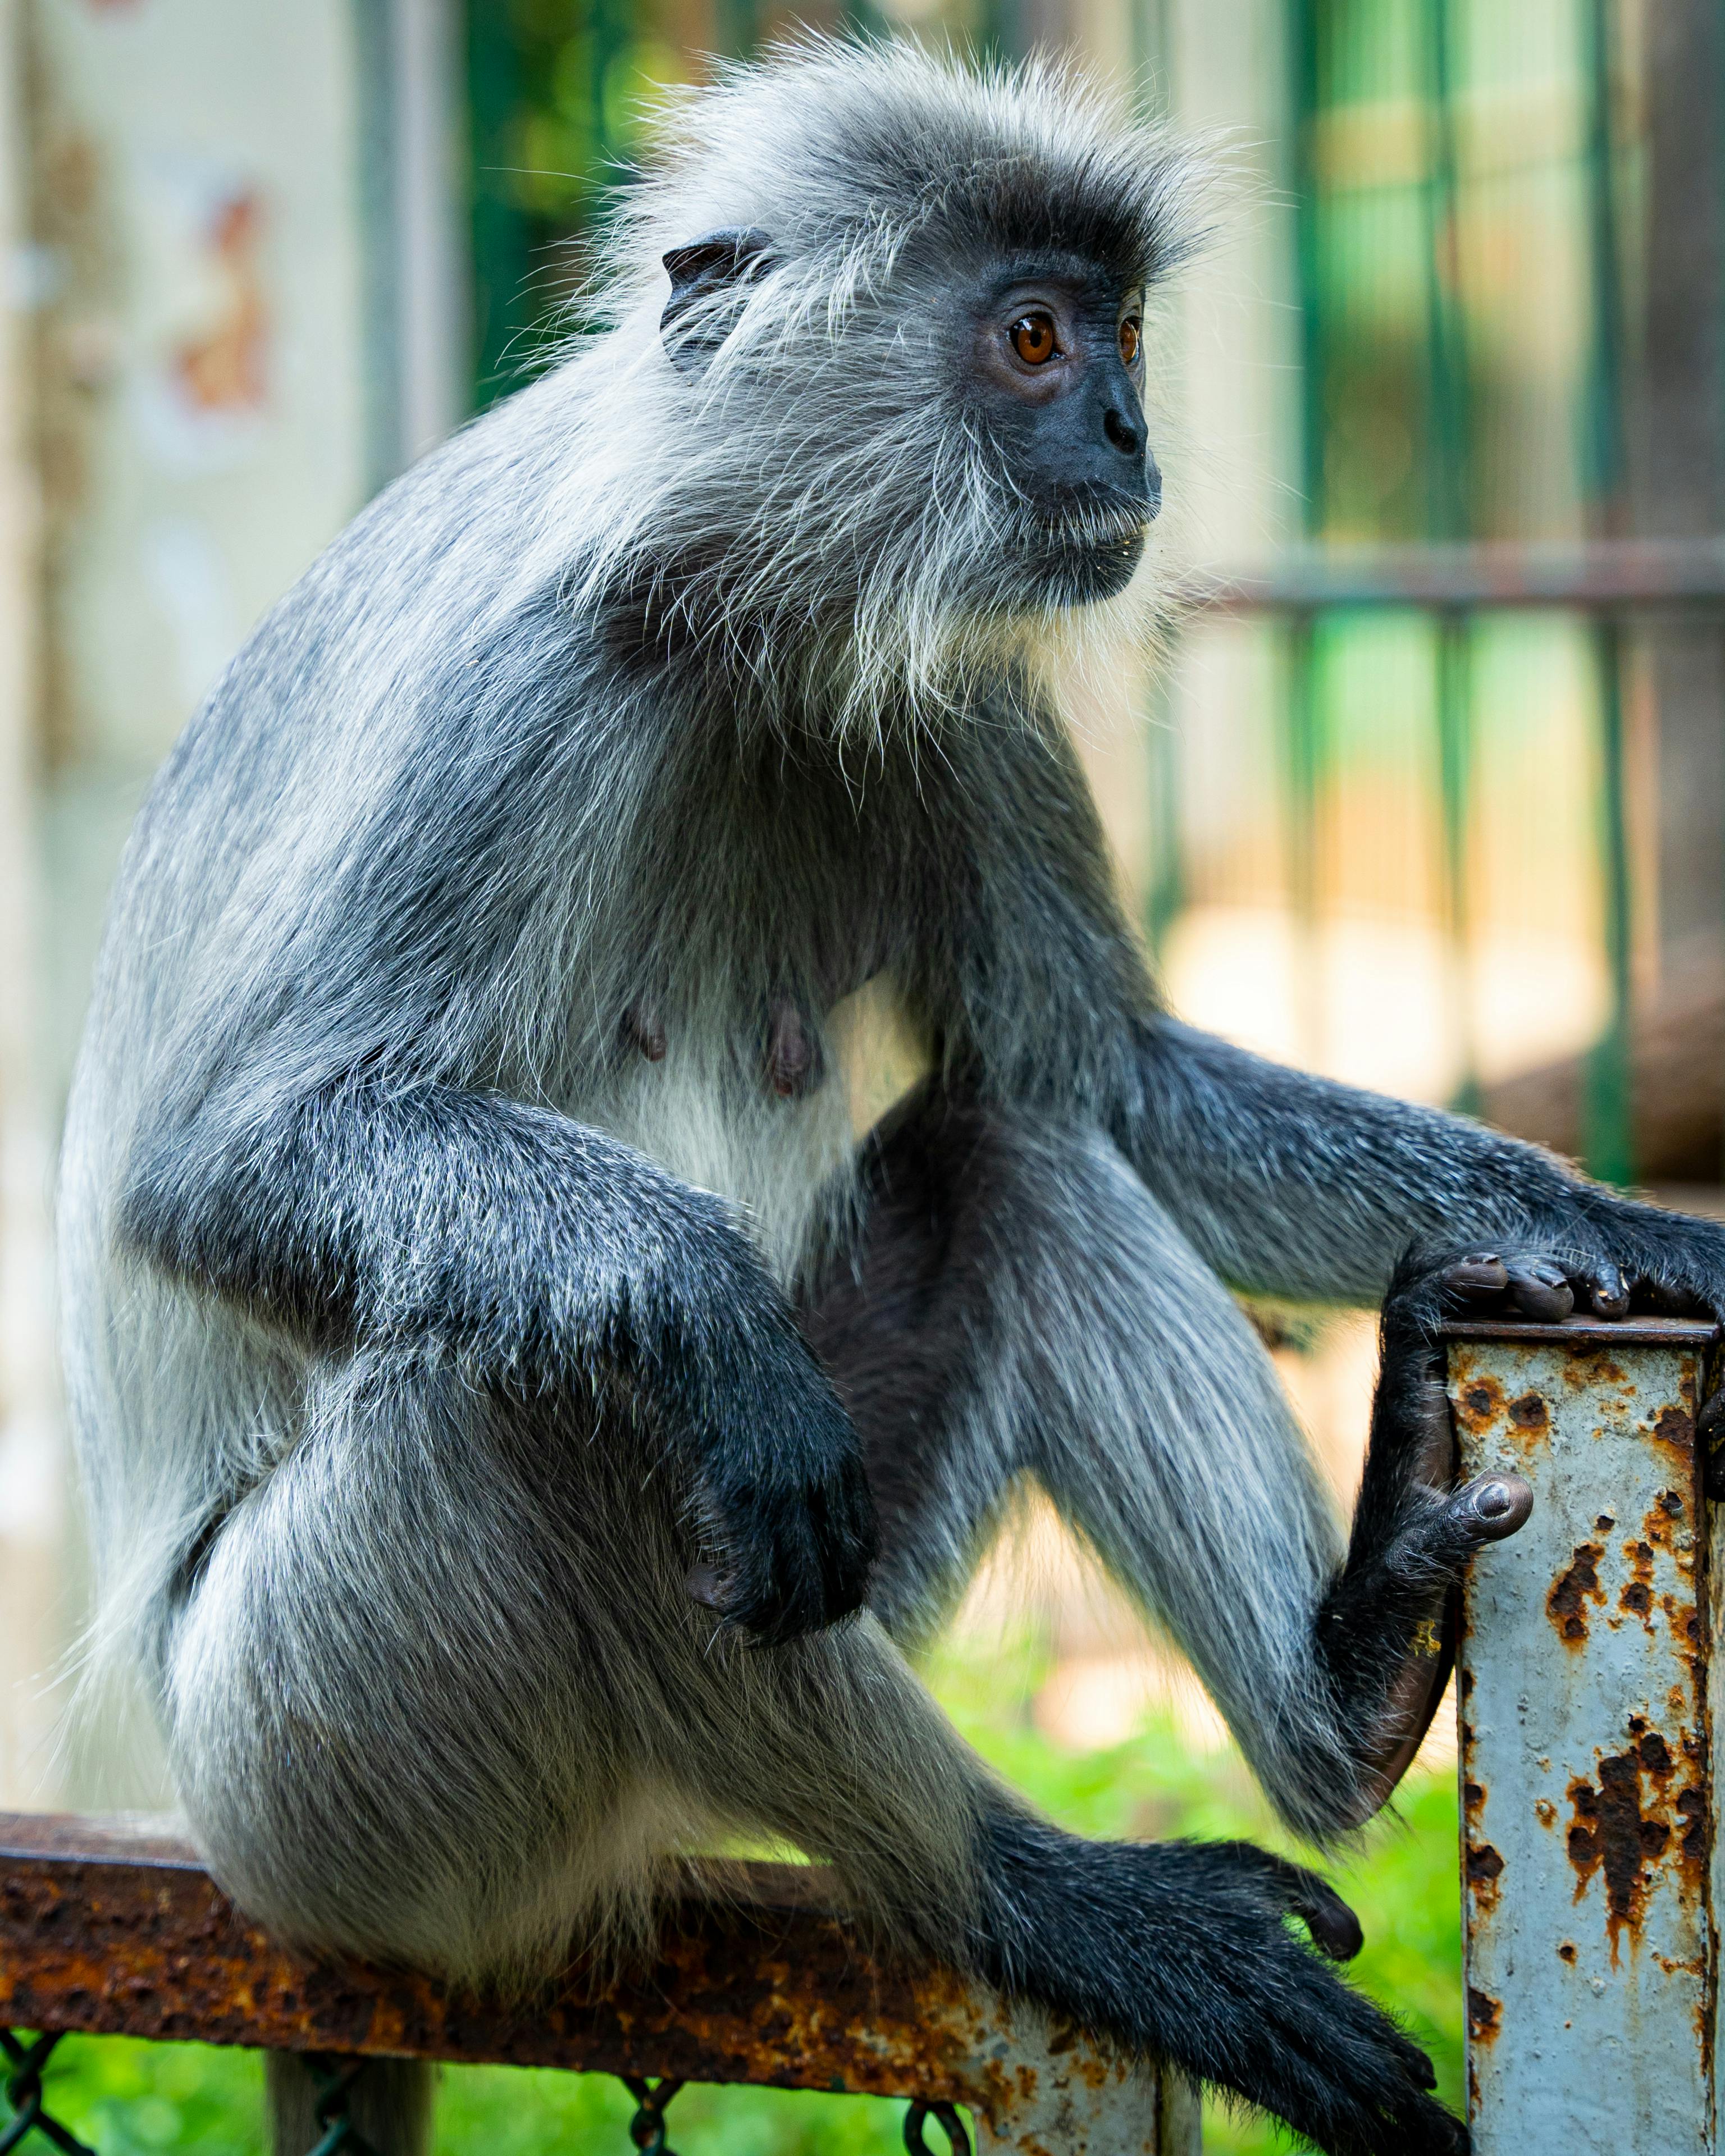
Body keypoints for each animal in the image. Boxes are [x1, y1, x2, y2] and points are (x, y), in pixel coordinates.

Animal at [54, 36, 1725, 2156]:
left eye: (1120, 334)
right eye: (1028, 339)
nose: (1128, 433)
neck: (714, 606)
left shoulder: (958, 683)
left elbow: (1108, 1086)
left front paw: (1631, 1229)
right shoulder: (518, 684)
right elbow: (208, 1169)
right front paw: (694, 1298)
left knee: (1015, 1158)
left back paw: (1342, 1704)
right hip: (325, 1795)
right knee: (525, 1395)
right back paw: (1042, 1893)